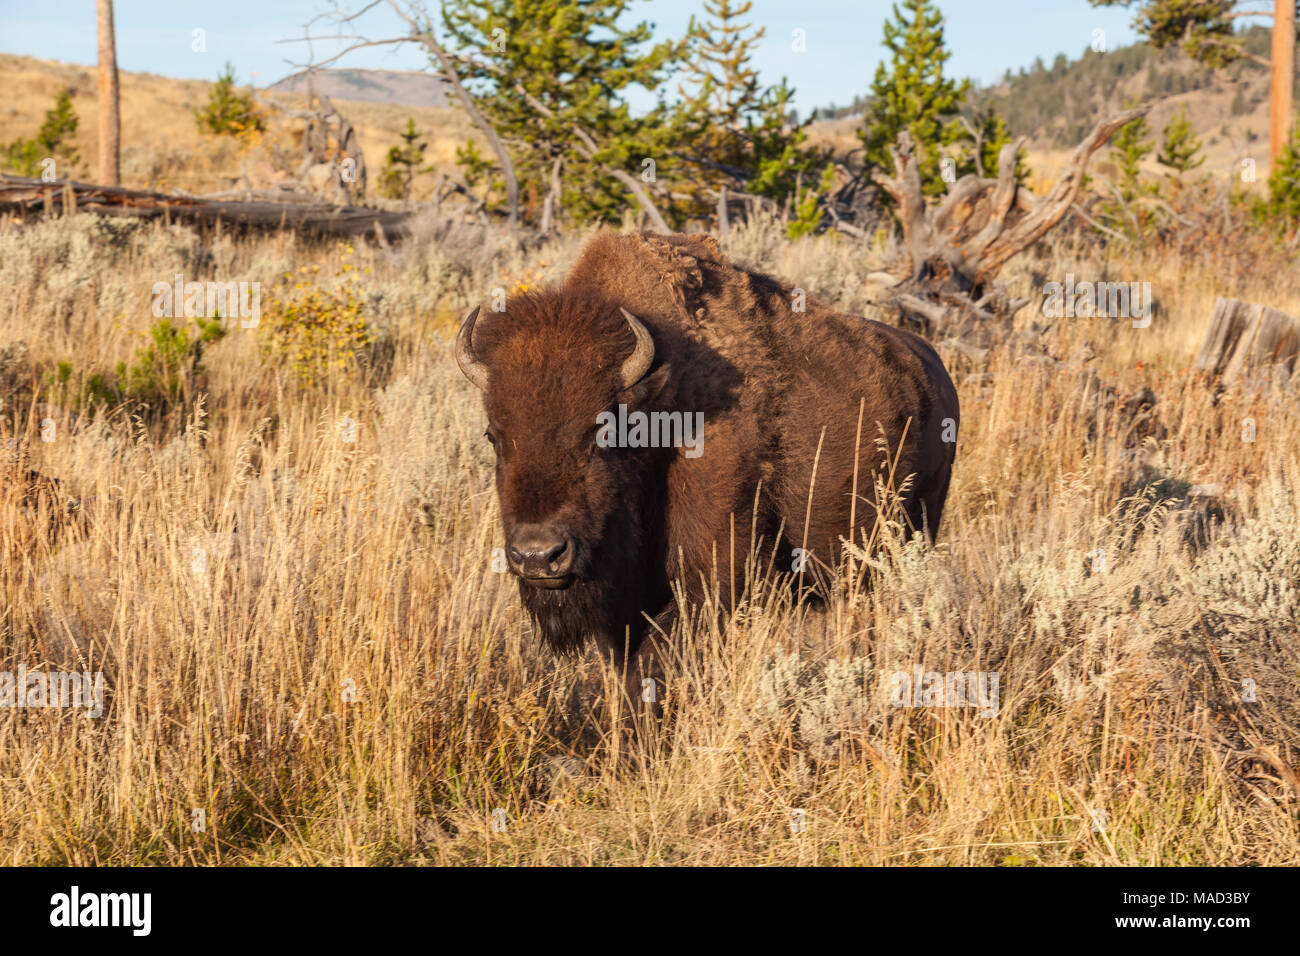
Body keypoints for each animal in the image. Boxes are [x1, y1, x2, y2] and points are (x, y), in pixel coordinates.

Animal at [456, 231, 958, 683]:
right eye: (493, 435)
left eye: (603, 430)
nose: (538, 556)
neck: (659, 403)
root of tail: (933, 369)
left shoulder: (709, 577)